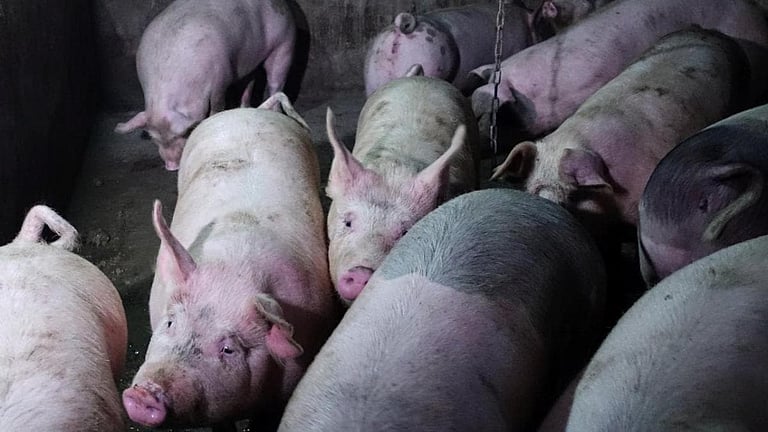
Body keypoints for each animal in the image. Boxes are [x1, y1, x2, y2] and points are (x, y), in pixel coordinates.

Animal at [114, 0, 297, 171]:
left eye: (183, 133)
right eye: (154, 138)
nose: (172, 166)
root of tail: (284, 5)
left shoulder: (220, 77)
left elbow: (217, 104)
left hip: (285, 42)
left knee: (276, 82)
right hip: (249, 60)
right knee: (249, 81)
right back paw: (244, 107)